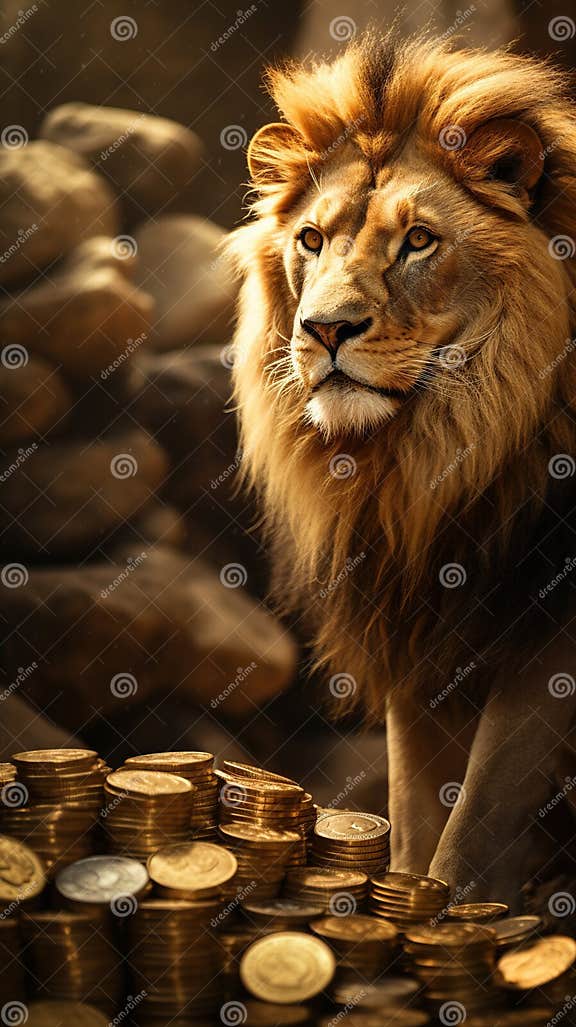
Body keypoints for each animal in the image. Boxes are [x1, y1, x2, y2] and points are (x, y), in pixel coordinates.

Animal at [228, 31, 576, 905]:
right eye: (311, 240)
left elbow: (476, 826)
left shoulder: (550, 641)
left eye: (418, 240)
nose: (325, 329)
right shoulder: (420, 627)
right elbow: (418, 815)